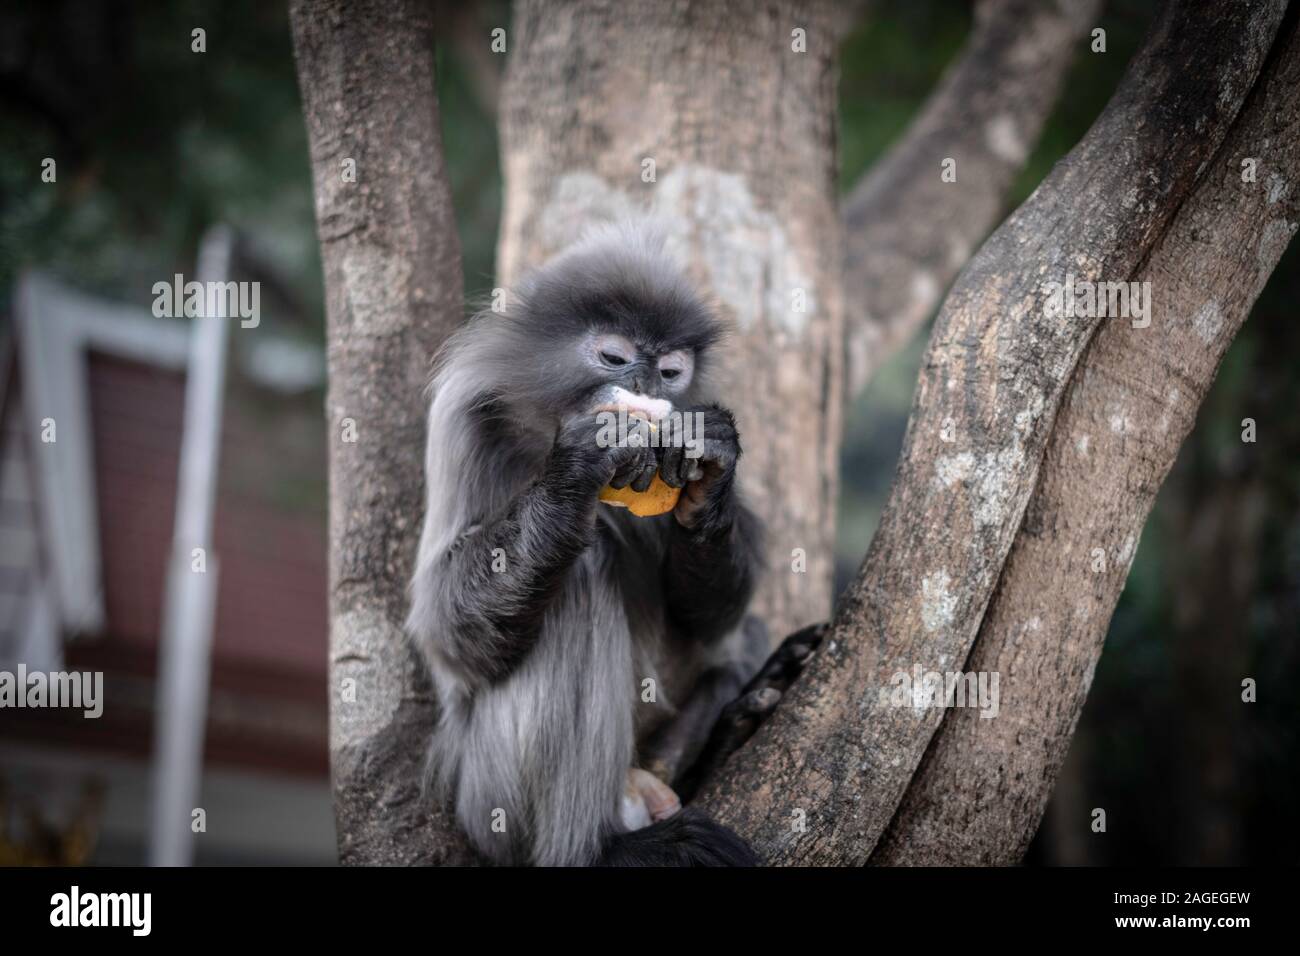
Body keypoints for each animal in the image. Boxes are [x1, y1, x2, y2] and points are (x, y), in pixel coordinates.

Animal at [405, 222, 774, 866]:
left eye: (671, 372)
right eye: (614, 358)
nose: (646, 387)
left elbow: (711, 621)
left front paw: (712, 469)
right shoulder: (466, 420)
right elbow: (444, 636)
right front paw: (577, 468)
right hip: (487, 800)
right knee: (580, 569)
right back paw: (604, 849)